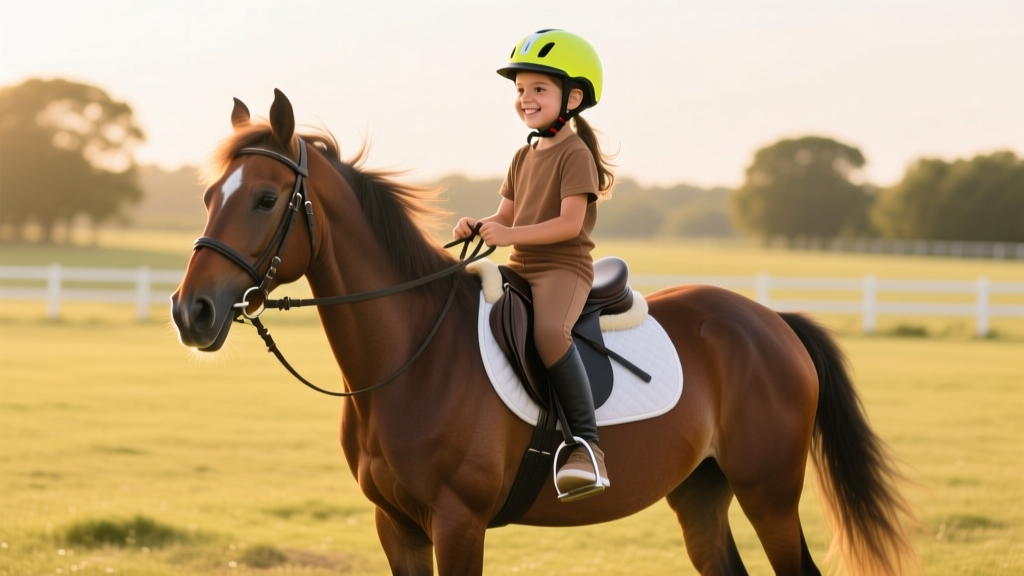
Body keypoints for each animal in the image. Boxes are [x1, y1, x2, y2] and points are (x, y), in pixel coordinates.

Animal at [171, 90, 916, 575]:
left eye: (266, 198)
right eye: (208, 196)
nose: (191, 312)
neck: (413, 358)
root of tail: (771, 321)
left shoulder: (458, 523)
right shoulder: (397, 526)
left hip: (770, 492)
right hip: (701, 493)